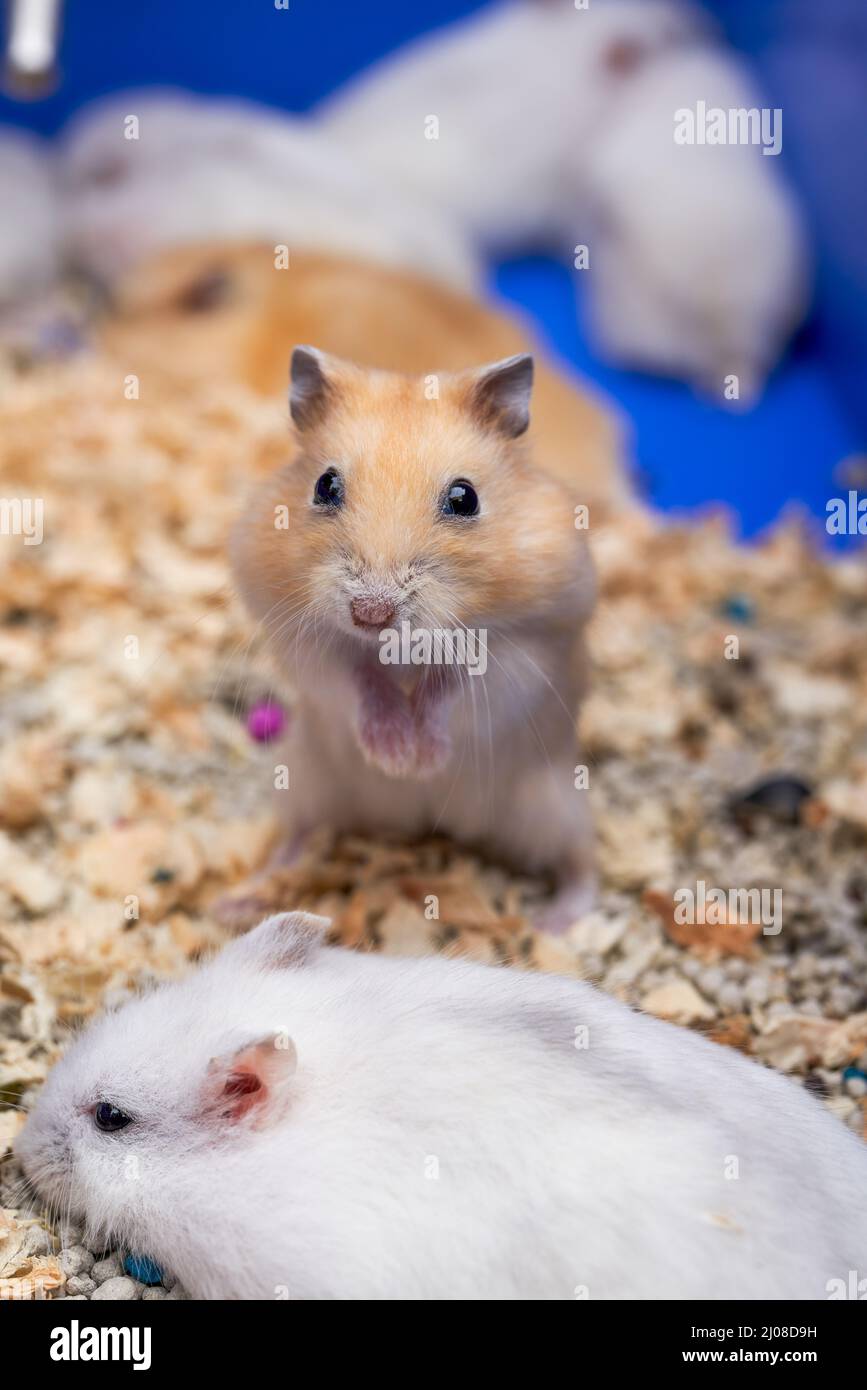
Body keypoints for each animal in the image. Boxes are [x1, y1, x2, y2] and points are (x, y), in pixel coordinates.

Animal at [231, 346, 598, 930]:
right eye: (324, 486)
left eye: (465, 498)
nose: (370, 613)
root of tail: (427, 823)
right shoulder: (307, 642)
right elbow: (358, 679)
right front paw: (395, 757)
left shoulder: (526, 646)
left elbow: (451, 686)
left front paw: (420, 759)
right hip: (305, 780)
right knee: (297, 835)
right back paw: (238, 900)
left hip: (554, 800)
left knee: (581, 861)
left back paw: (554, 922)